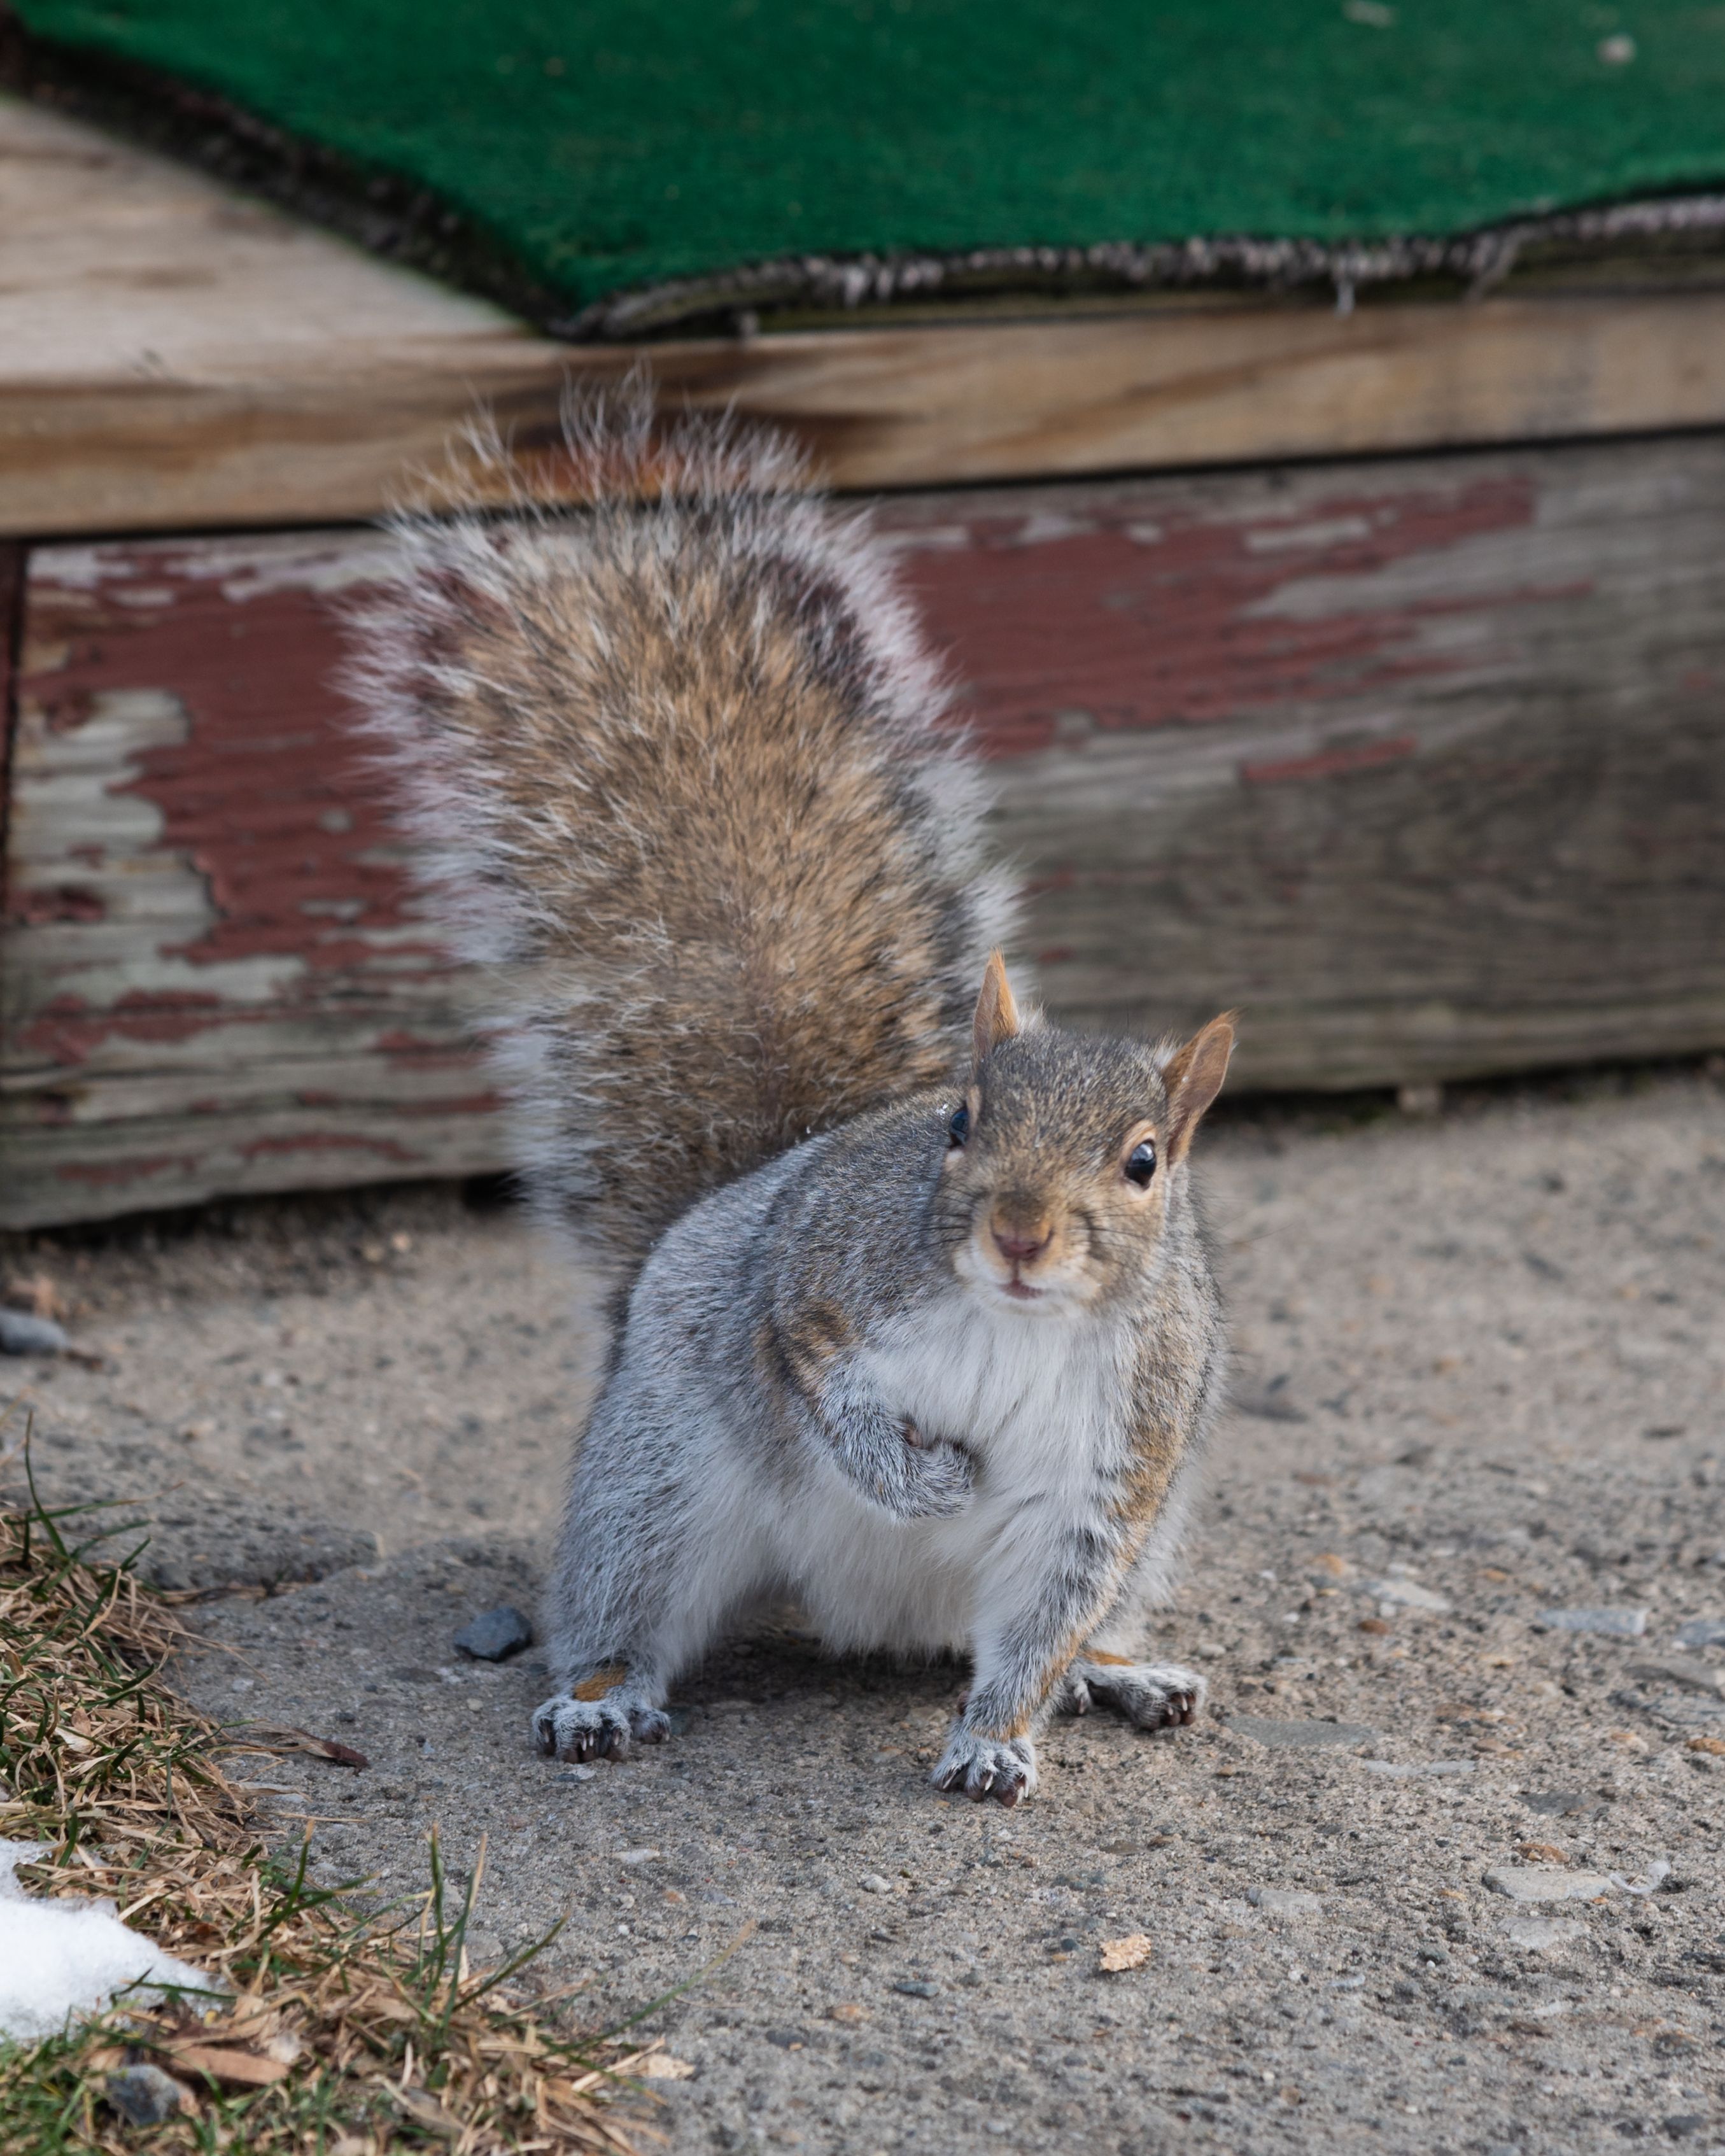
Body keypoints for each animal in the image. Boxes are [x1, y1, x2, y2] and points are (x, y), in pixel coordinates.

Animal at [347, 389, 1234, 1807]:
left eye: (1145, 1161)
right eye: (960, 1122)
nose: (1020, 1234)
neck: (1013, 1319)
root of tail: (863, 1616)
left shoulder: (1113, 1474)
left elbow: (1043, 1622)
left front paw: (997, 1737)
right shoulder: (816, 1282)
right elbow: (819, 1379)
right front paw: (922, 1480)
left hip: (1138, 1551)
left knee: (1060, 1631)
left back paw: (1120, 1670)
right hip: (656, 1486)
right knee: (619, 1610)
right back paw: (599, 1699)